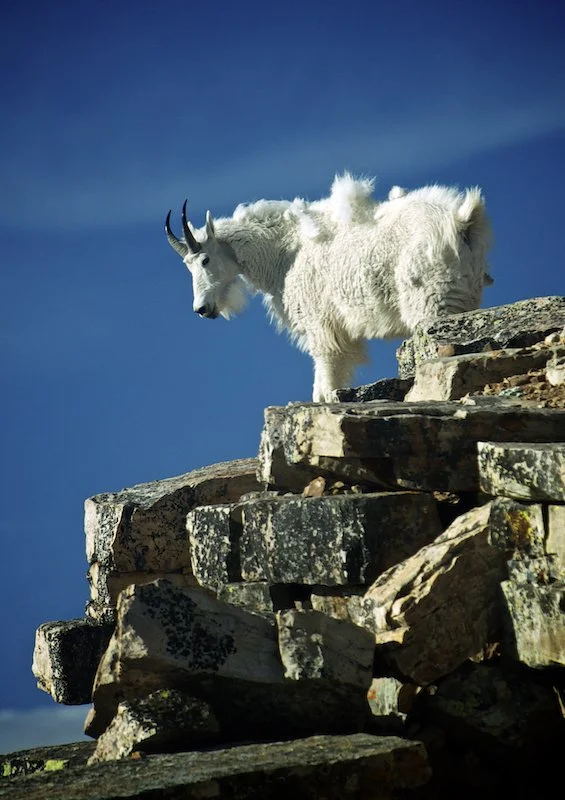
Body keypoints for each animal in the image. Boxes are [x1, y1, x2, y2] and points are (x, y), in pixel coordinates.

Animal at [165, 174, 492, 402]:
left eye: (205, 259)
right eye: (187, 266)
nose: (201, 309)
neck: (285, 252)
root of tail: (461, 220)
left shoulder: (322, 325)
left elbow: (325, 379)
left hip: (431, 298)